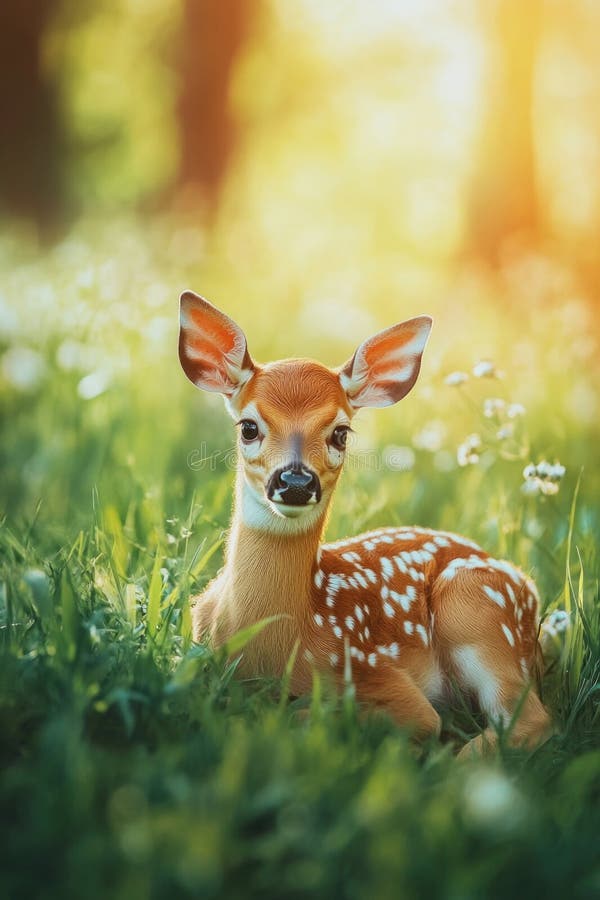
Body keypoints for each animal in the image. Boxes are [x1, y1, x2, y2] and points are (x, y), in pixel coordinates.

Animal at [178, 290, 552, 756]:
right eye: (248, 427)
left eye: (341, 433)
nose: (296, 482)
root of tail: (529, 589)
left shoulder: (374, 671)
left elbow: (385, 719)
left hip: (477, 608)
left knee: (529, 719)